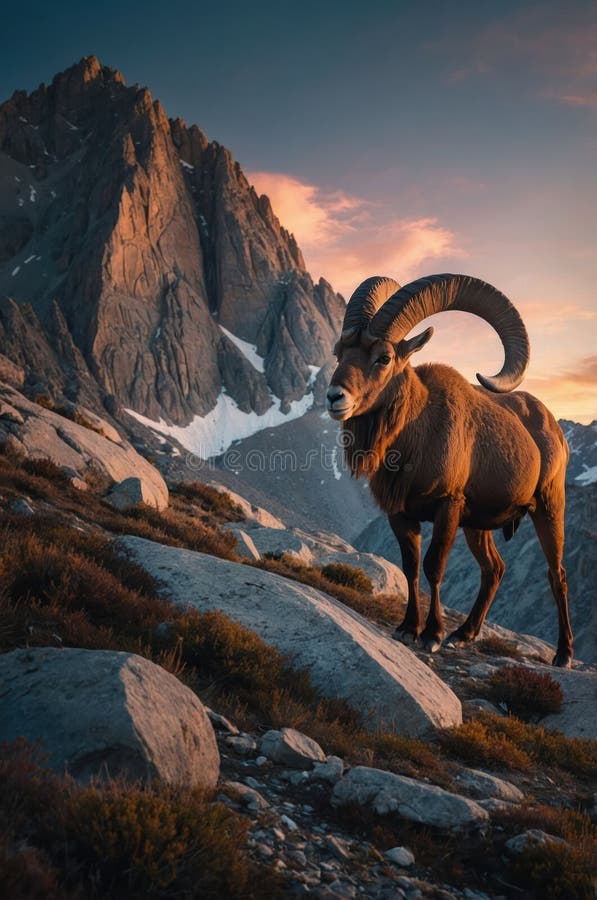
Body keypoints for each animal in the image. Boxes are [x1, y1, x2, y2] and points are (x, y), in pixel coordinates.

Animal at [327, 274, 573, 667]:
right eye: (340, 352)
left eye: (384, 357)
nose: (335, 397)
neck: (419, 435)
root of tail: (552, 426)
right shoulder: (400, 514)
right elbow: (410, 566)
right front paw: (408, 629)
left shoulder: (448, 507)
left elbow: (433, 566)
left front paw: (432, 635)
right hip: (478, 526)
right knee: (494, 569)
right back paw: (465, 634)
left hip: (549, 507)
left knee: (556, 574)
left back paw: (563, 654)